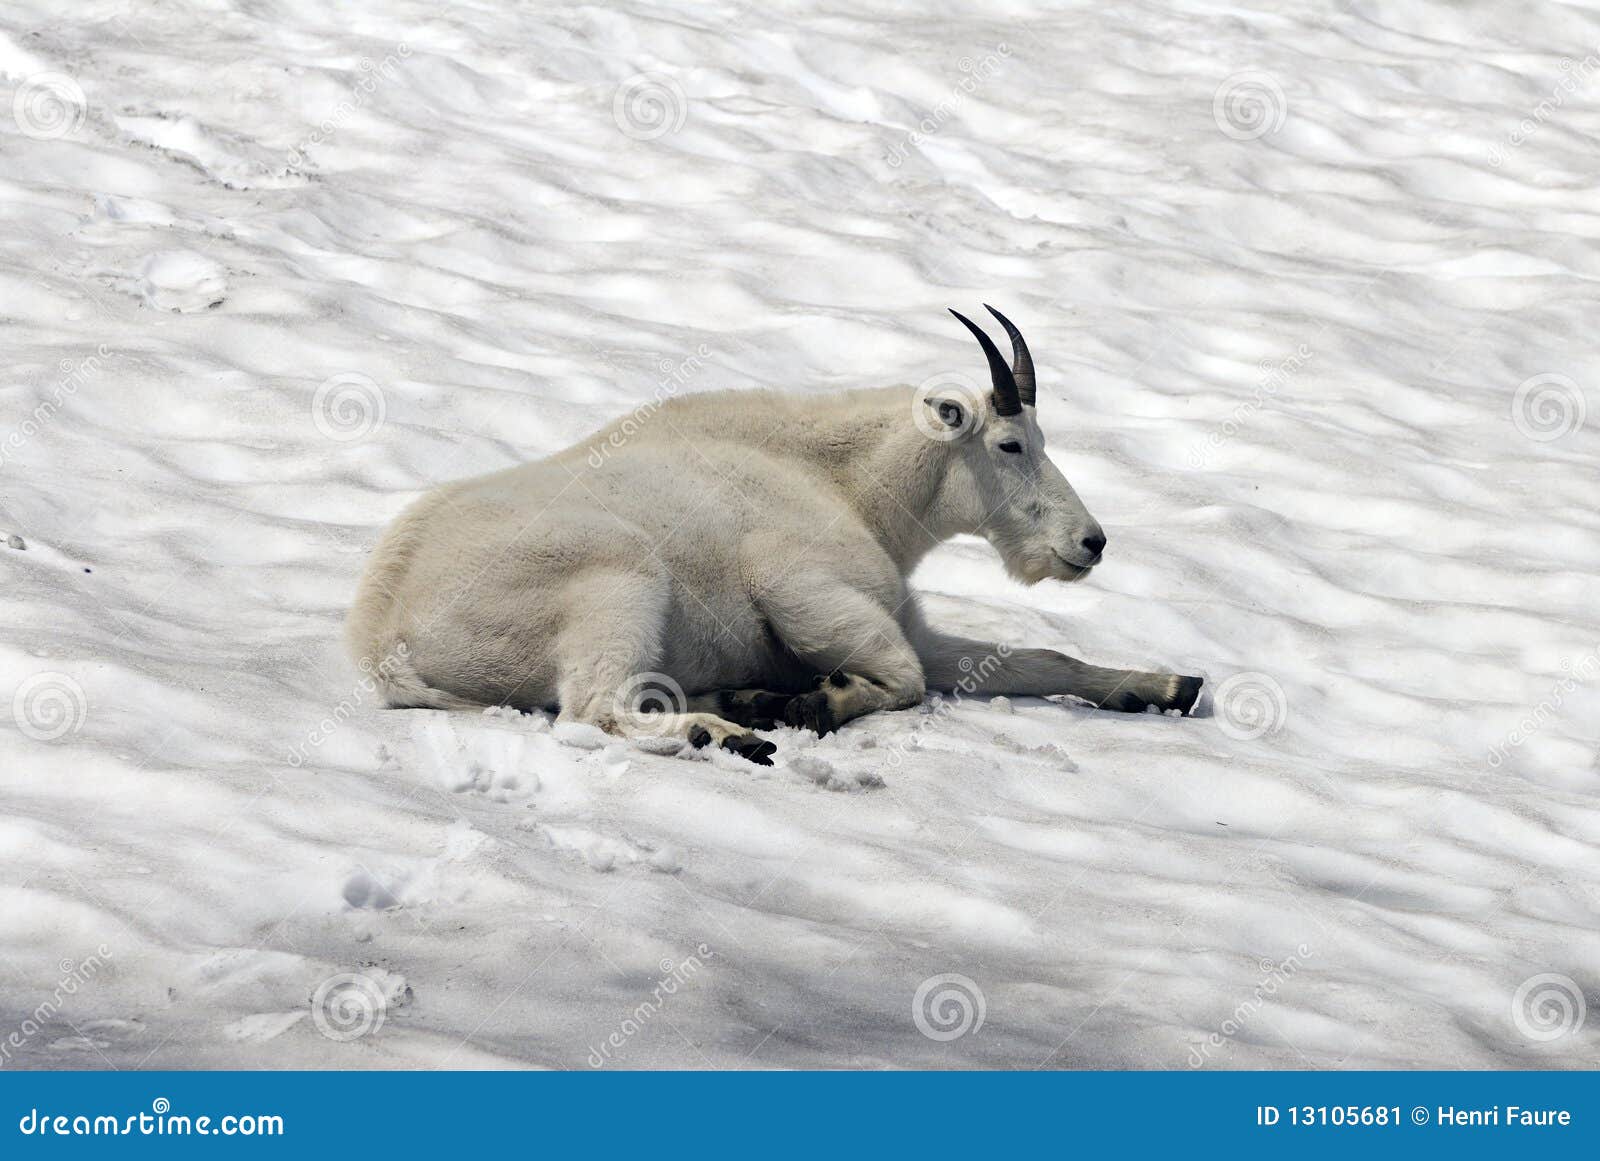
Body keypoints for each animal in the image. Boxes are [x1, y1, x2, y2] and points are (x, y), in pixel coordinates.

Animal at [347, 307, 1204, 765]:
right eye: (1010, 443)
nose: (1089, 542)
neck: (848, 485)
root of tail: (383, 638)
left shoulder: (902, 620)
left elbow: (1037, 659)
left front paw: (1165, 684)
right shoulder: (799, 588)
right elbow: (903, 680)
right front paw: (811, 700)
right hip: (620, 581)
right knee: (593, 708)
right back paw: (727, 728)